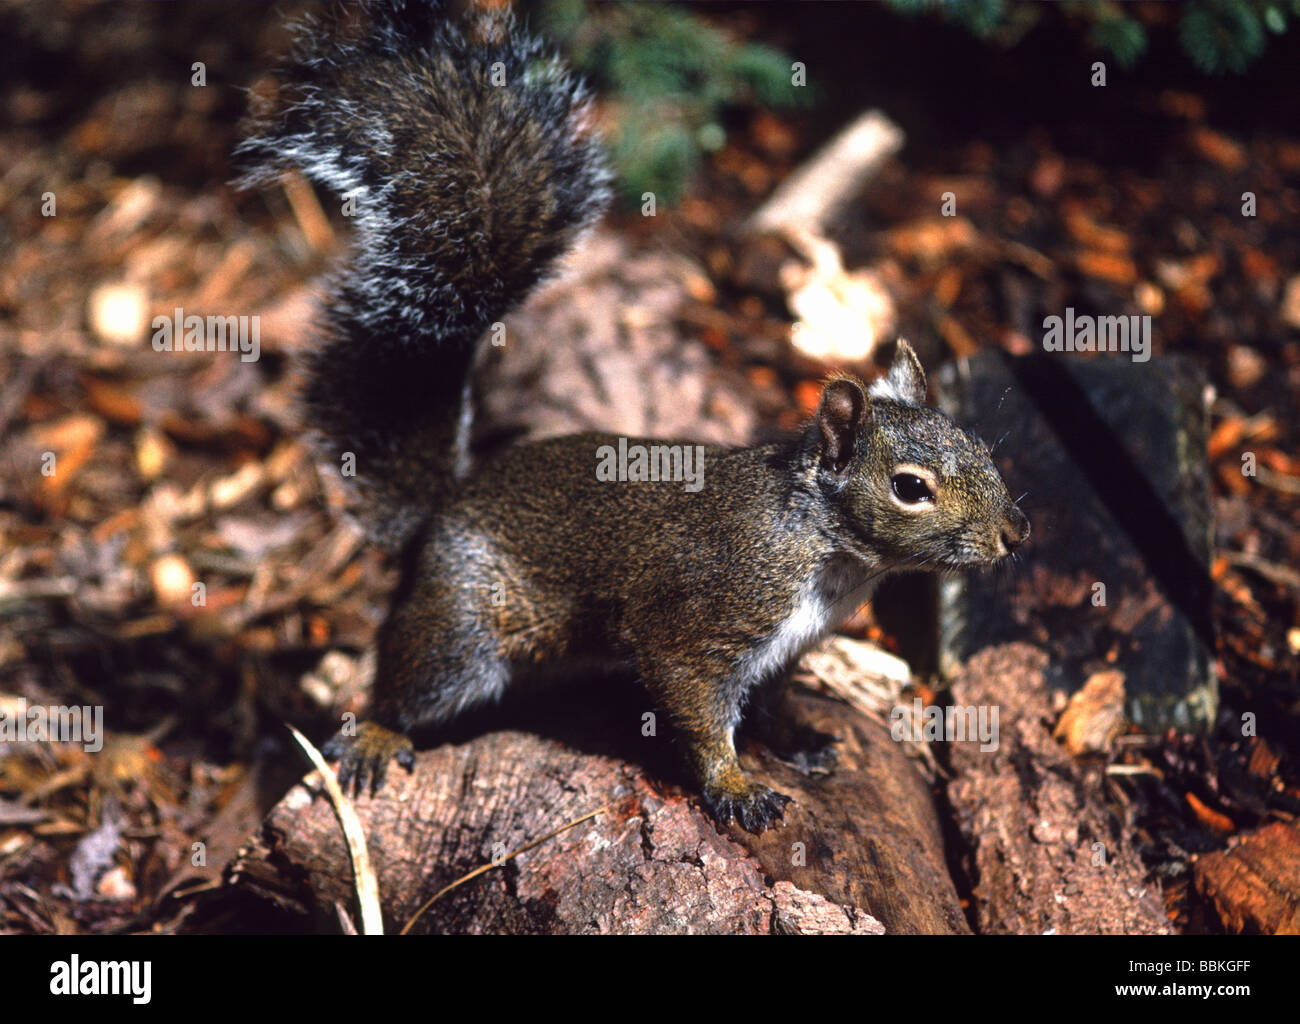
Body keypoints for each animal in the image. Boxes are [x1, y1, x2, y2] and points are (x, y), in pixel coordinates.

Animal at [238, 0, 1029, 833]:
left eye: (980, 445)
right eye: (910, 487)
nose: (1016, 533)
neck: (825, 548)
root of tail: (437, 515)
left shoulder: (781, 652)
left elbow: (768, 707)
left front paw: (798, 743)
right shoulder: (702, 616)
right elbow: (695, 705)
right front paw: (735, 786)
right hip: (463, 631)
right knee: (407, 683)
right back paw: (377, 734)